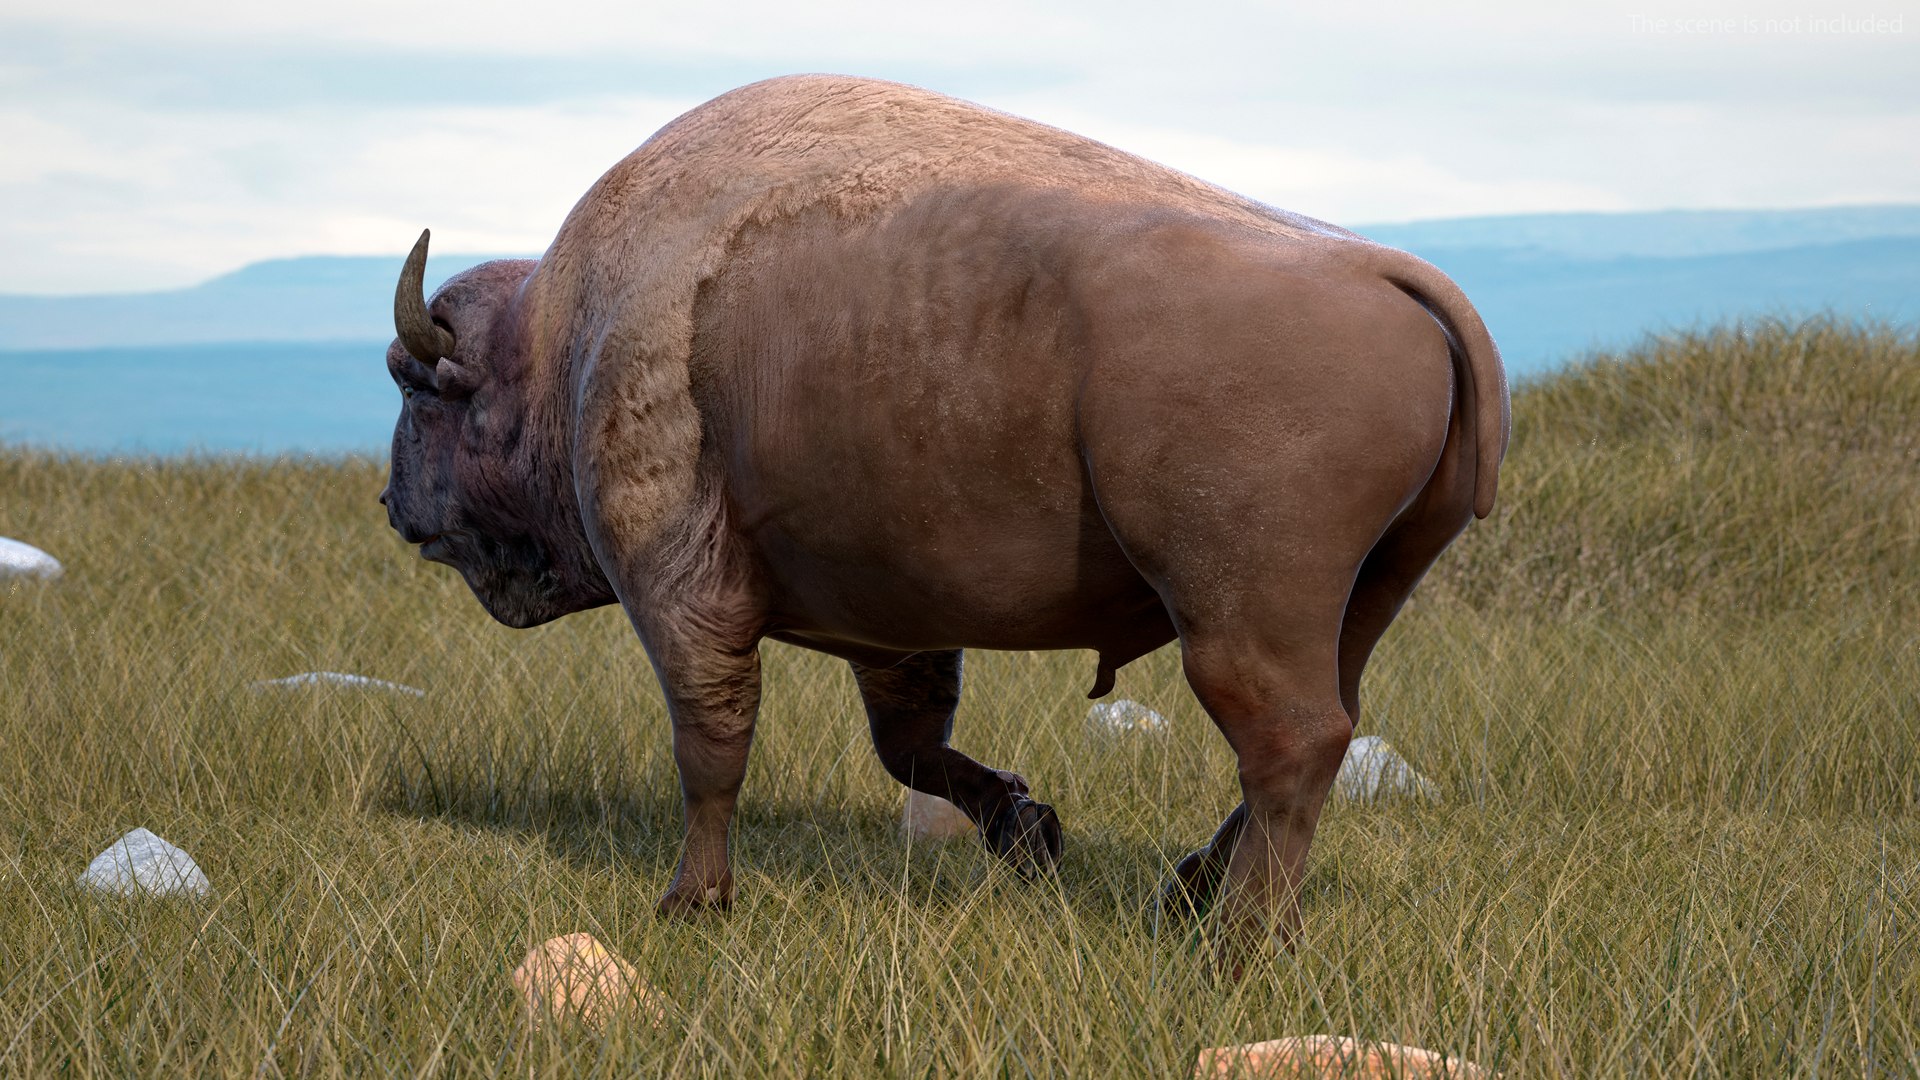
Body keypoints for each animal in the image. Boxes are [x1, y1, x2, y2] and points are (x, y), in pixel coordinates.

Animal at [379, 74, 1507, 964]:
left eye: (418, 392)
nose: (394, 506)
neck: (571, 339)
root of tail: (1384, 270)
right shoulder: (898, 635)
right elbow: (911, 750)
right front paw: (1031, 833)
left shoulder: (682, 600)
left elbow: (712, 750)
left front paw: (692, 901)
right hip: (1361, 598)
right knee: (1325, 730)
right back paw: (1191, 891)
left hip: (1235, 615)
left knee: (1288, 742)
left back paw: (1238, 938)